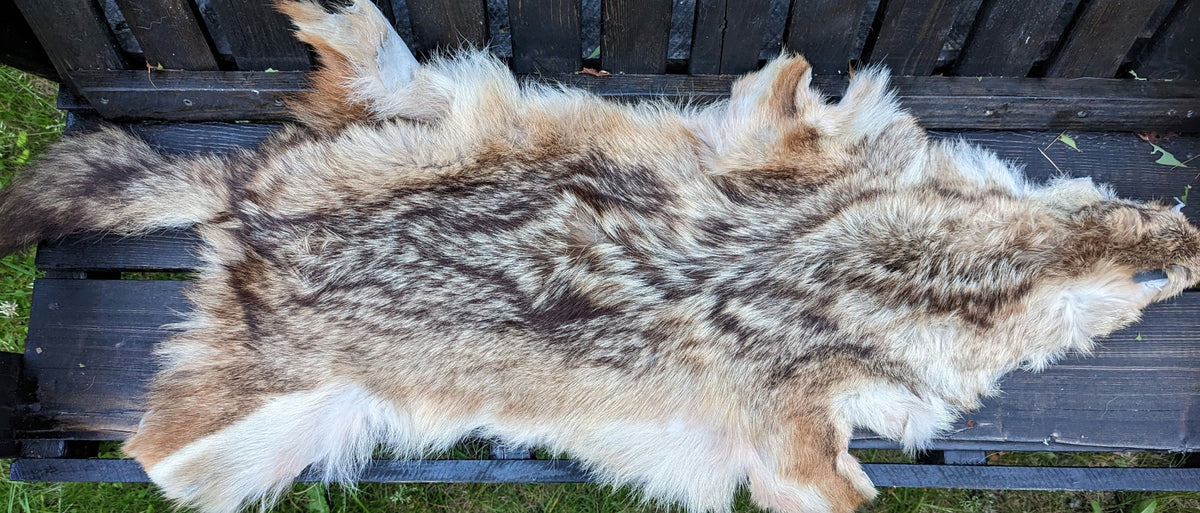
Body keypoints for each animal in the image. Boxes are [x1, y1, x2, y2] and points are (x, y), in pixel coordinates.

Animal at [0, 1, 1197, 512]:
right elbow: (841, 489)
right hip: (254, 436)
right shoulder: (790, 434)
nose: (1187, 236)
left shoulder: (777, 137)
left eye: (1130, 214)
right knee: (149, 450)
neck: (866, 271)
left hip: (425, 107)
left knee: (351, 34)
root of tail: (244, 203)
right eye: (1151, 279)